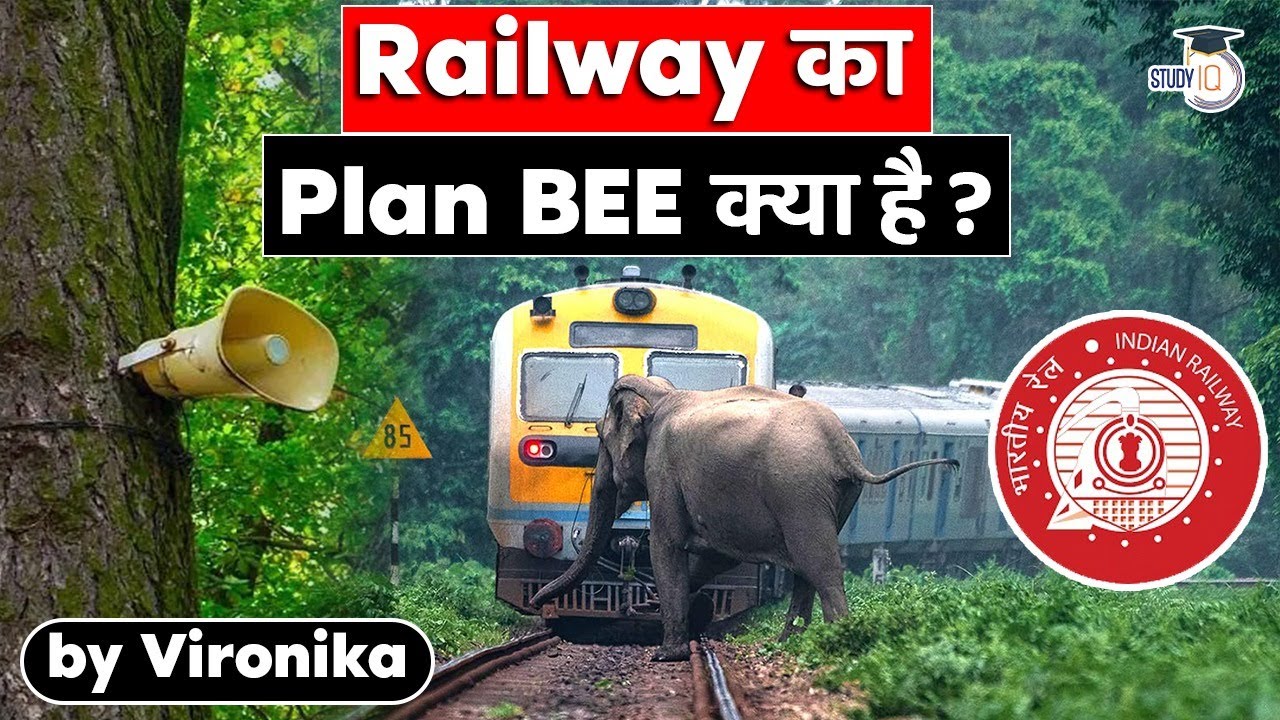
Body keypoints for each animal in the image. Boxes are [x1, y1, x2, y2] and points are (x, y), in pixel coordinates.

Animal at [529, 375, 959, 661]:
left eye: (601, 437)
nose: (536, 602)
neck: (662, 394)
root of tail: (844, 449)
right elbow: (715, 556)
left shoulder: (664, 467)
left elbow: (667, 545)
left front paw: (666, 654)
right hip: (839, 496)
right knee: (807, 568)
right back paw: (787, 642)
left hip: (797, 489)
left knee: (818, 565)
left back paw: (836, 643)